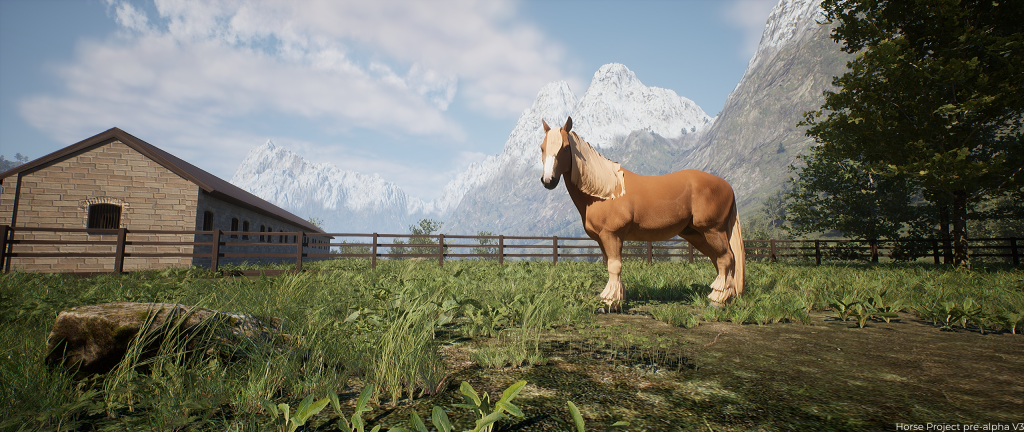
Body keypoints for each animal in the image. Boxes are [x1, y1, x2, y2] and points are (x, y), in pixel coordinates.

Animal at [539, 117, 745, 310]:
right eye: (542, 148)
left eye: (566, 147)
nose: (548, 180)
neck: (606, 192)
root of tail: (727, 186)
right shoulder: (603, 239)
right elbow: (611, 266)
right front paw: (615, 301)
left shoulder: (612, 235)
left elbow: (615, 266)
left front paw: (610, 303)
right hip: (696, 234)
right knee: (720, 260)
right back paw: (726, 297)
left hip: (713, 231)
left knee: (726, 259)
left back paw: (718, 302)